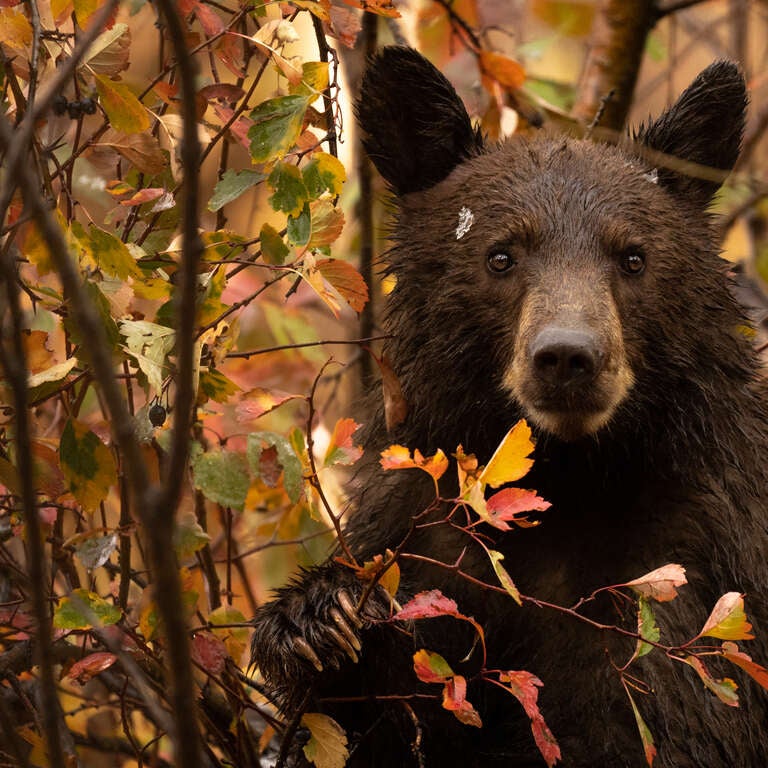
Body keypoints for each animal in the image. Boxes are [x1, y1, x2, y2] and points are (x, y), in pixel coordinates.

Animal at [250, 47, 768, 768]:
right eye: (501, 255)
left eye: (633, 257)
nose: (568, 356)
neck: (570, 478)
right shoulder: (428, 539)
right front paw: (319, 621)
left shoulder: (694, 565)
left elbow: (667, 717)